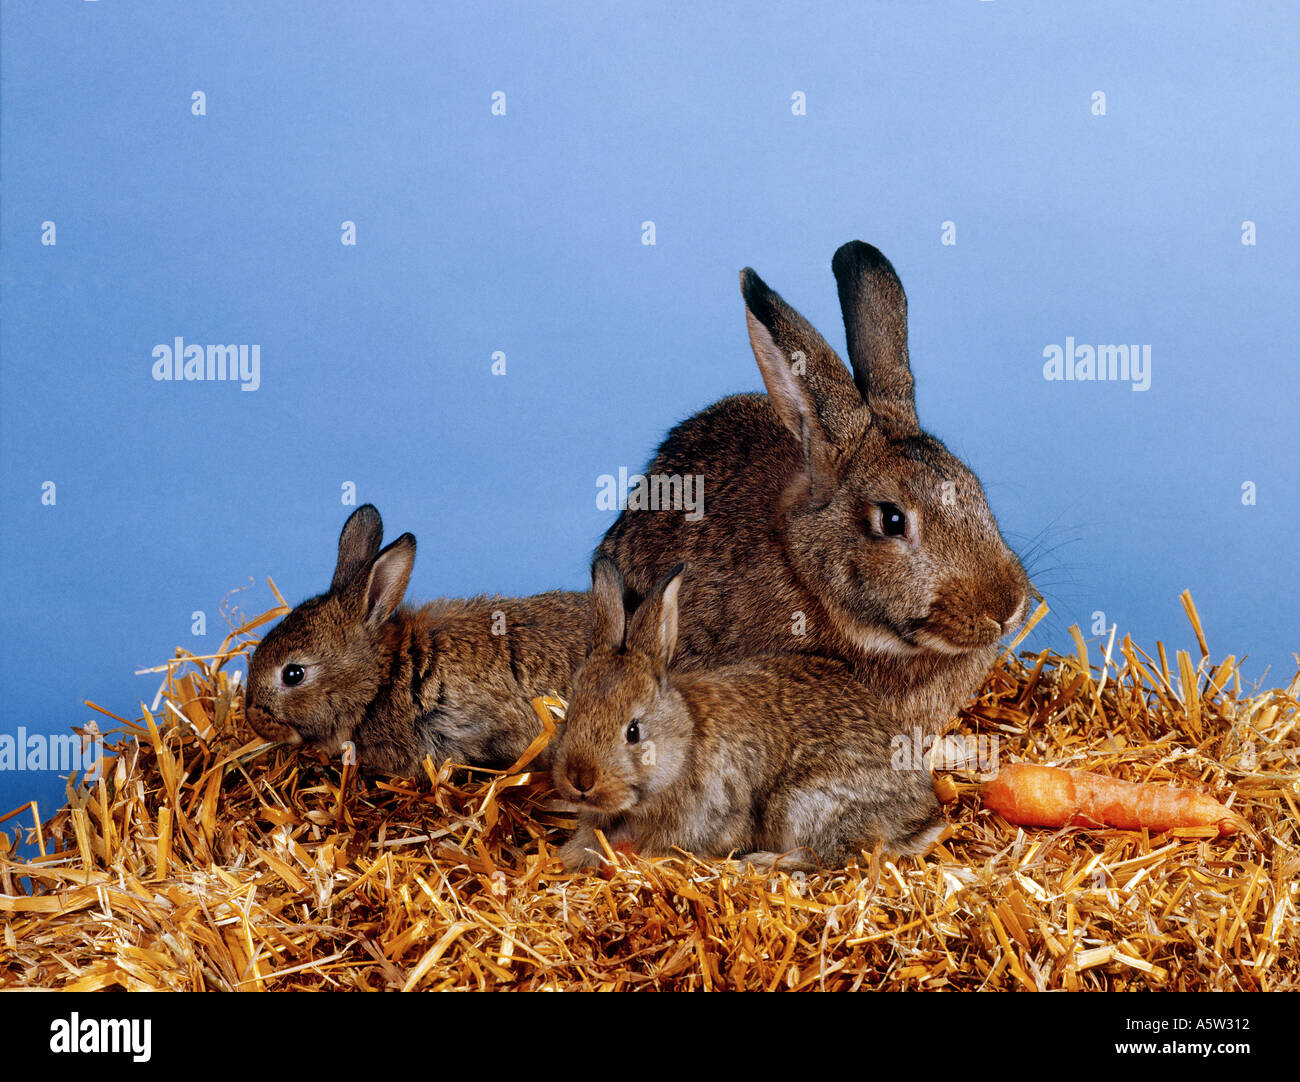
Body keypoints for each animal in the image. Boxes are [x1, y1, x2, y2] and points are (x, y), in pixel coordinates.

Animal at [552, 556, 946, 872]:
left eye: (633, 731)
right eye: (569, 717)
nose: (580, 779)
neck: (681, 746)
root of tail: (920, 819)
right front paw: (568, 858)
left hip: (801, 806)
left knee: (826, 855)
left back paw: (758, 861)